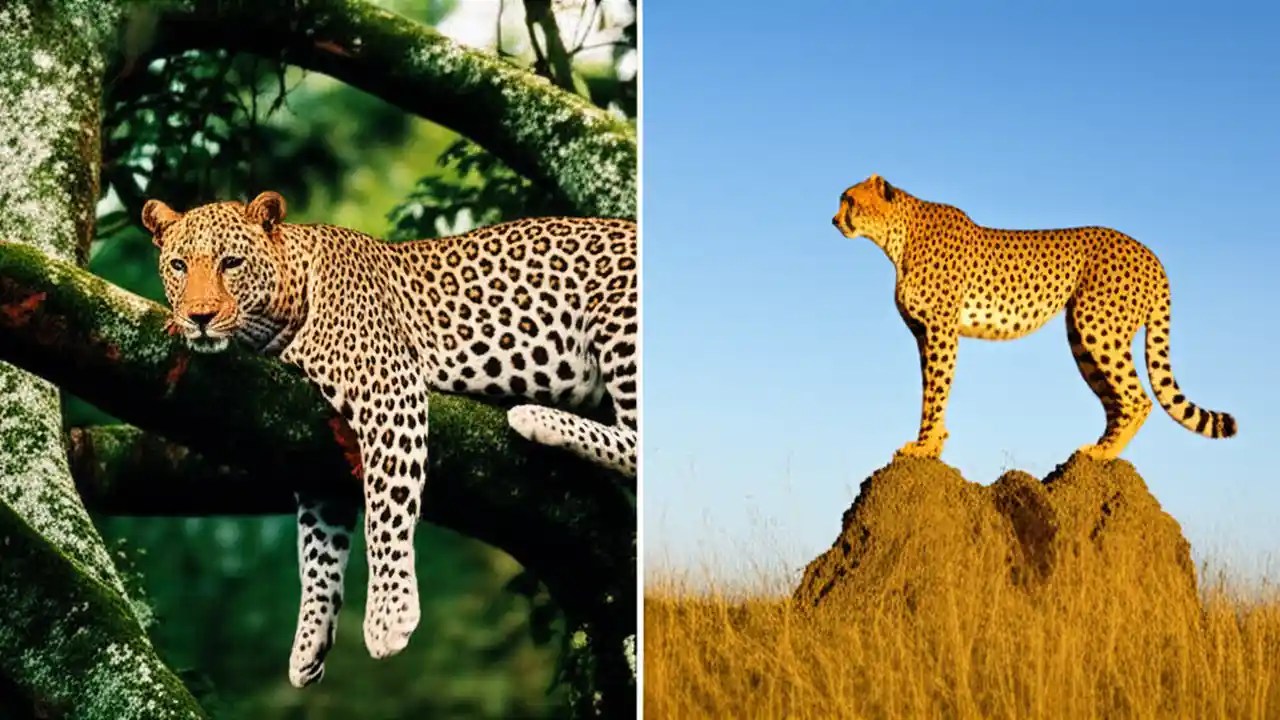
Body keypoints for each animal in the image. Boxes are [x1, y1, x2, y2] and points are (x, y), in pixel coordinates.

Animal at [141, 191, 638, 687]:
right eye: (179, 265)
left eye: (232, 262)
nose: (199, 317)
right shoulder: (315, 456)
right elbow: (318, 551)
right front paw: (309, 642)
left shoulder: (390, 389)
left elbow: (386, 509)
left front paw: (389, 614)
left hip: (621, 318)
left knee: (636, 439)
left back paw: (537, 417)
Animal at [832, 173, 1236, 461]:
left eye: (849, 199)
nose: (834, 220)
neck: (897, 237)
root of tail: (1151, 254)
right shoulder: (923, 333)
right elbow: (932, 388)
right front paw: (935, 443)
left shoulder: (940, 331)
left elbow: (936, 389)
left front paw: (925, 446)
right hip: (1081, 336)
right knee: (1115, 401)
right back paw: (1096, 449)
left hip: (1098, 327)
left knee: (1138, 398)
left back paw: (1105, 453)